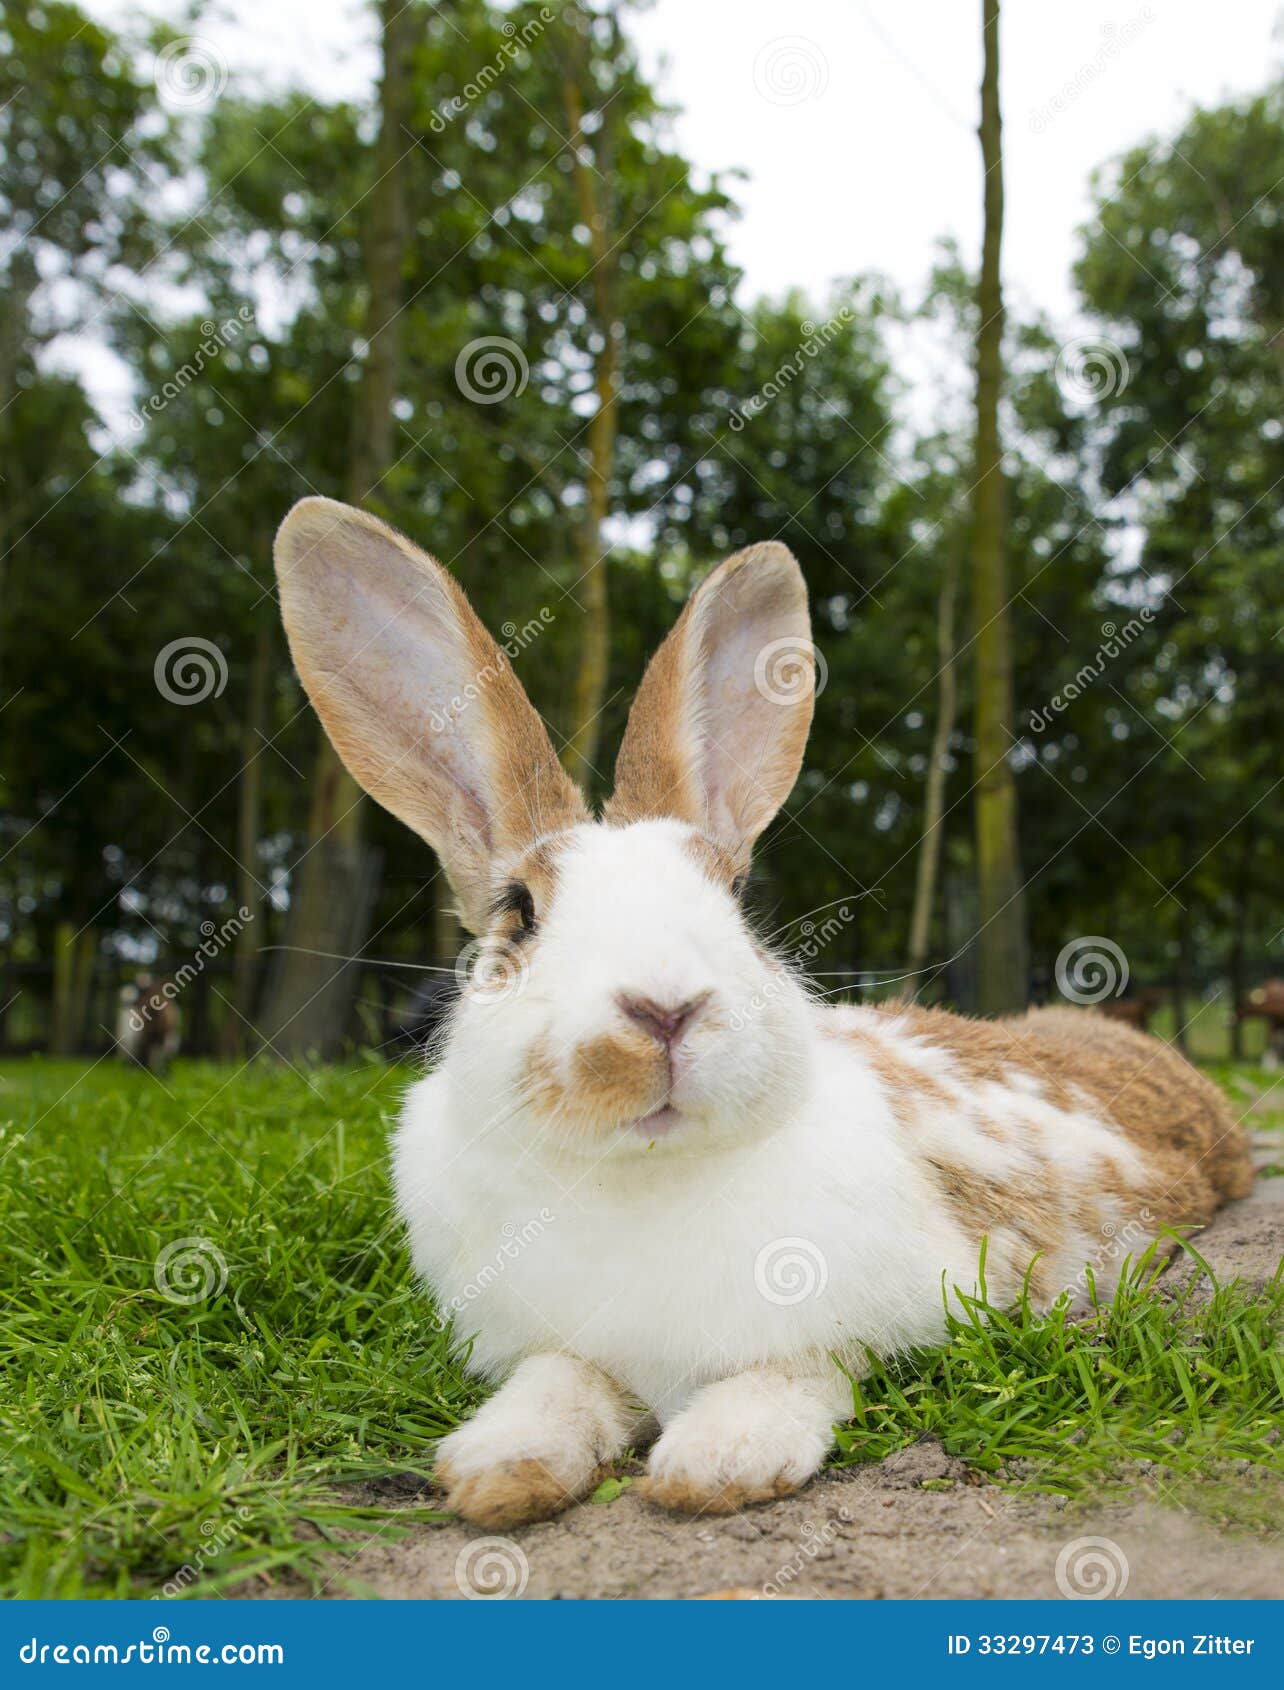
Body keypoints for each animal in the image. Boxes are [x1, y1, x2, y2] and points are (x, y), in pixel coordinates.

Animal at [274, 495, 1254, 1528]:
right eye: (520, 913)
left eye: (735, 900)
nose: (664, 1010)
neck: (641, 1177)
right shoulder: (564, 1347)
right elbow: (558, 1382)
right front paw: (497, 1470)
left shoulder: (871, 1322)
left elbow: (795, 1374)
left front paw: (719, 1463)